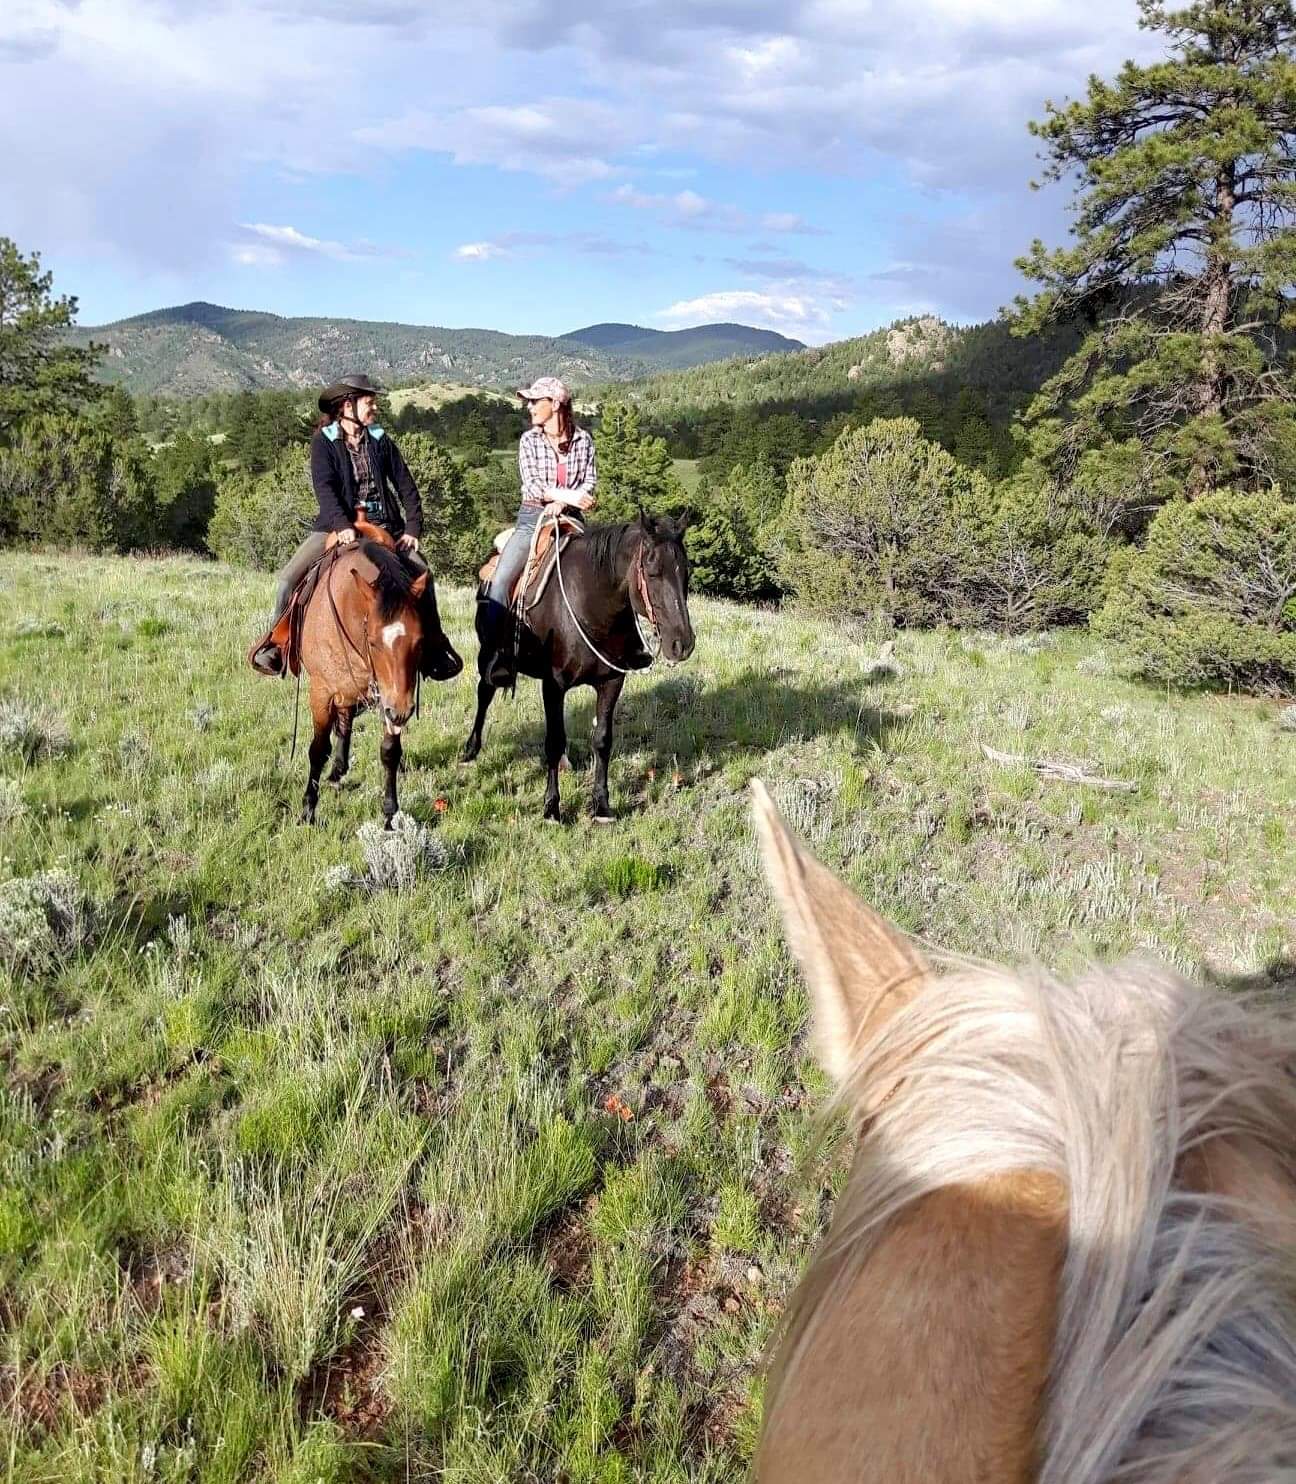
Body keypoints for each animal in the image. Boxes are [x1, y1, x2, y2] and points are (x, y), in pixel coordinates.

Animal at [298, 528, 429, 828]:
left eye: (419, 642)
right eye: (373, 642)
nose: (401, 712)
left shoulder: (390, 695)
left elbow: (390, 750)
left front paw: (390, 813)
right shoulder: (321, 693)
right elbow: (317, 749)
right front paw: (308, 810)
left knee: (346, 722)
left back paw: (339, 769)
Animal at [461, 513, 696, 822]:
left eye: (686, 573)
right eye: (652, 571)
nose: (682, 644)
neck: (590, 607)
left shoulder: (611, 682)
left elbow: (602, 740)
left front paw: (602, 805)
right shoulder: (553, 686)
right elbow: (553, 740)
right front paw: (551, 807)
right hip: (488, 654)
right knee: (484, 691)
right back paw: (470, 750)